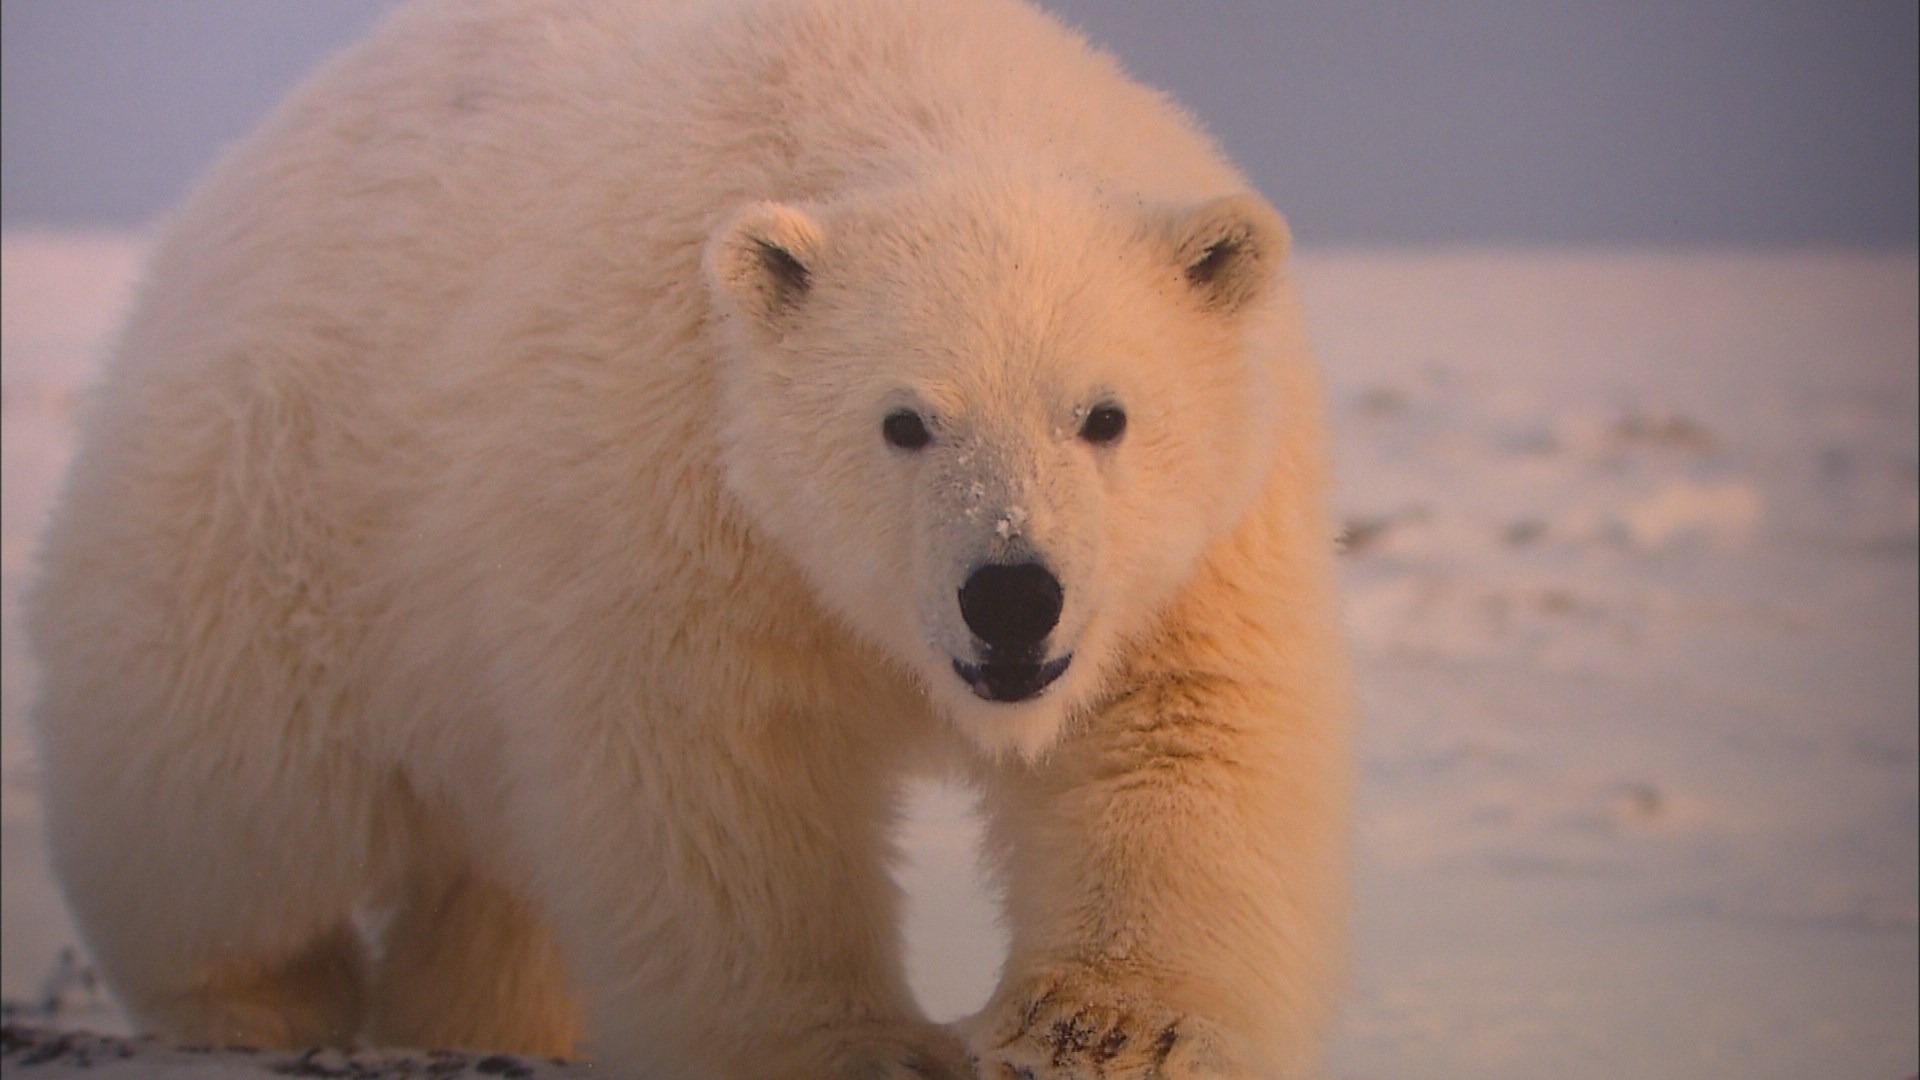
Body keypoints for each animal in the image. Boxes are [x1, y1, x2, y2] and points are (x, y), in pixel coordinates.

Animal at [26, 0, 1351, 1076]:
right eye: (905, 421)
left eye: (1105, 415)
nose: (1013, 596)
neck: (921, 99)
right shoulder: (675, 481)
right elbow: (714, 778)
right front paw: (843, 1046)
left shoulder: (1206, 539)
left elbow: (1179, 736)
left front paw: (1102, 1030)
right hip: (274, 516)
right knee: (225, 811)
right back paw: (256, 1004)